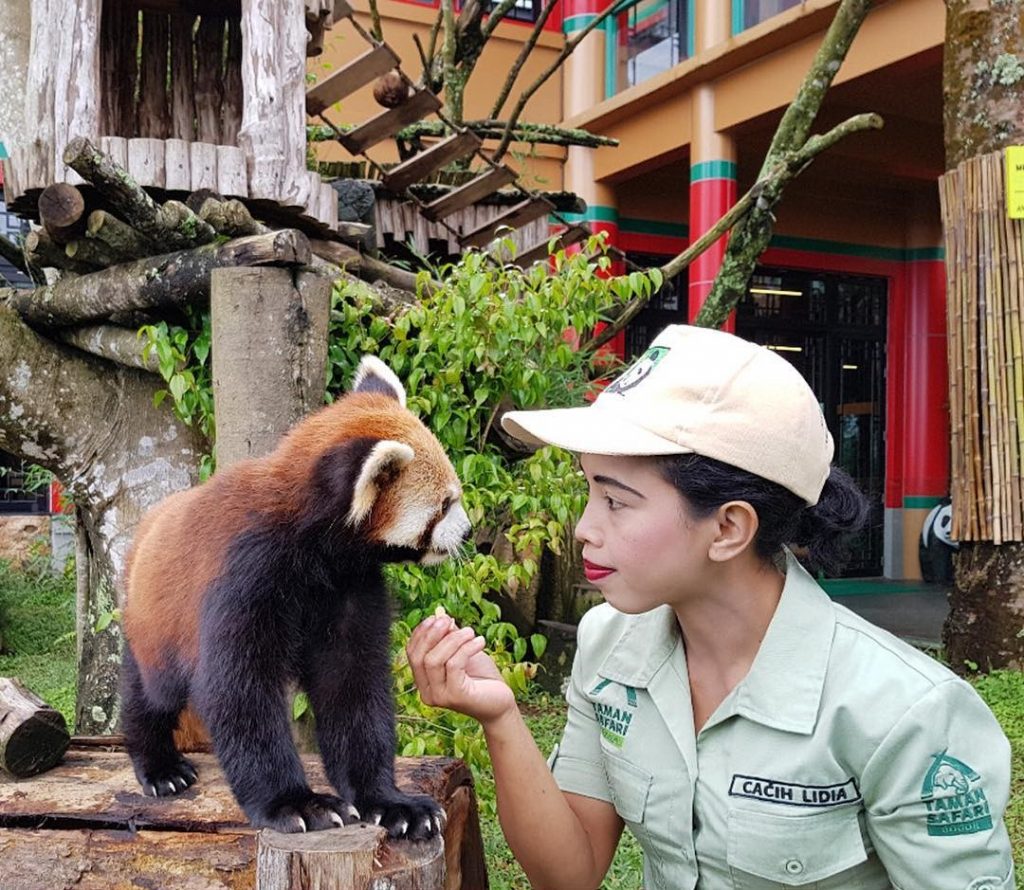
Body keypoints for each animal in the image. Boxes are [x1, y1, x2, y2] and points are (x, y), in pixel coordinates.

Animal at [120, 356, 471, 838]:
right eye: (445, 505)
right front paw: (295, 804)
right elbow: (239, 691)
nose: (469, 531)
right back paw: (158, 765)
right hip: (156, 619)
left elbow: (352, 685)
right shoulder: (245, 576)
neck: (314, 551)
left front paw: (389, 801)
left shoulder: (349, 584)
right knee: (154, 690)